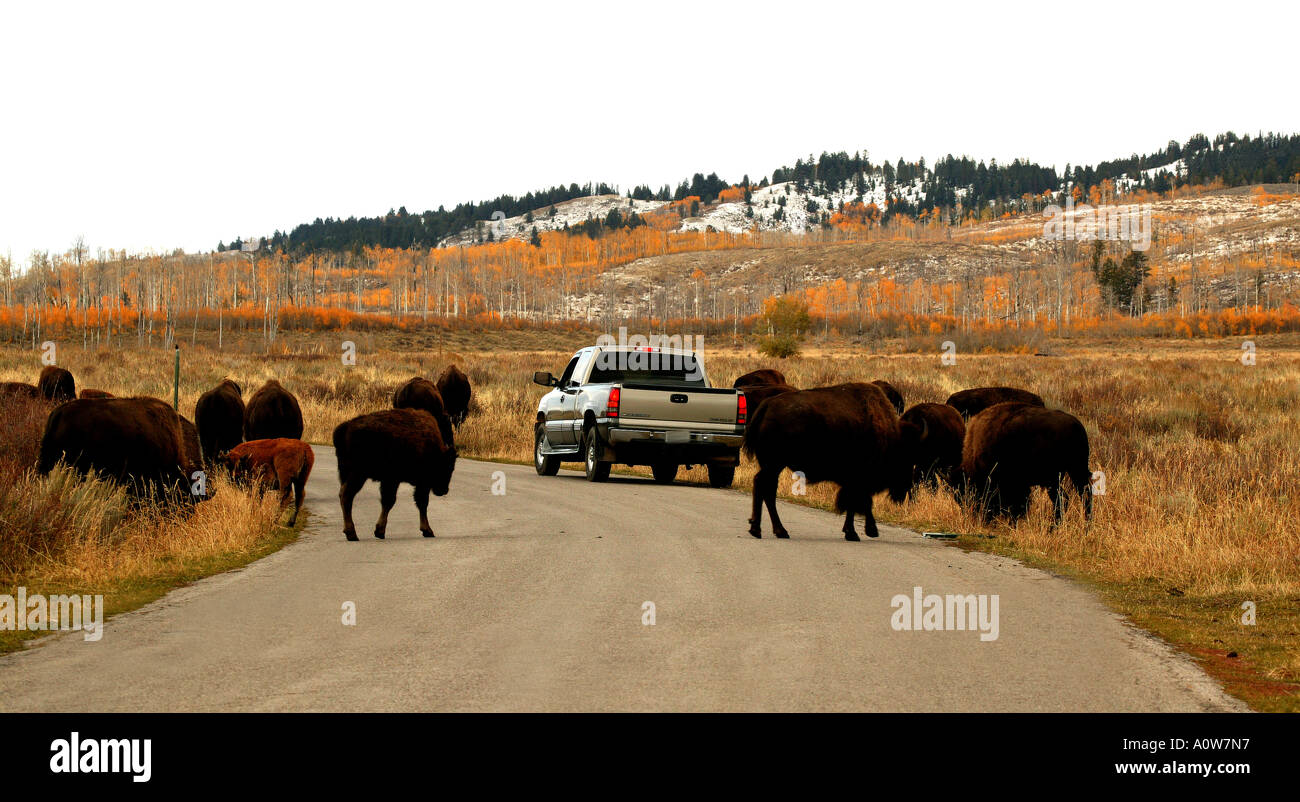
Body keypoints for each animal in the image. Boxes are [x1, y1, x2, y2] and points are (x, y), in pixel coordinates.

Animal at [332, 408, 458, 541]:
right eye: (447, 467)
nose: (444, 490)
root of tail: (346, 427)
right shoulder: (402, 482)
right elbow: (400, 502)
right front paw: (427, 531)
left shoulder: (395, 482)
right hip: (357, 475)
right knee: (346, 495)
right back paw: (352, 534)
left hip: (346, 473)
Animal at [742, 382, 922, 541]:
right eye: (906, 458)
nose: (906, 488)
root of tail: (767, 406)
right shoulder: (859, 481)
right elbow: (859, 503)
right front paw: (863, 532)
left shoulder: (854, 482)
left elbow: (855, 504)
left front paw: (854, 531)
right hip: (774, 465)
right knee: (765, 488)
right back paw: (769, 530)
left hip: (772, 466)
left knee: (765, 488)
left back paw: (764, 529)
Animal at [961, 402, 1092, 523]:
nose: (977, 516)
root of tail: (1077, 425)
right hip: (1069, 473)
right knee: (1075, 496)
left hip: (1063, 474)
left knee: (1070, 497)